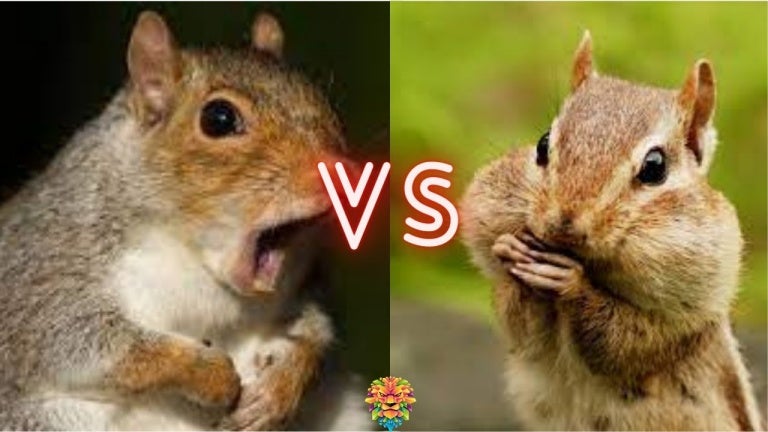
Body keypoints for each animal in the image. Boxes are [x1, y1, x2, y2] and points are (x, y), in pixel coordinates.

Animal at [0, 11, 367, 430]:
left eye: (321, 99)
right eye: (219, 118)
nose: (345, 172)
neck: (194, 257)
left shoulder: (302, 287)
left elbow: (314, 329)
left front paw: (281, 386)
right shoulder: (45, 271)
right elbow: (79, 341)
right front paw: (210, 375)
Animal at [461, 31, 763, 430]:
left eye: (655, 167)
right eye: (542, 144)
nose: (564, 222)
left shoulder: (683, 317)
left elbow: (624, 343)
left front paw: (571, 282)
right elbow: (520, 329)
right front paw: (512, 252)